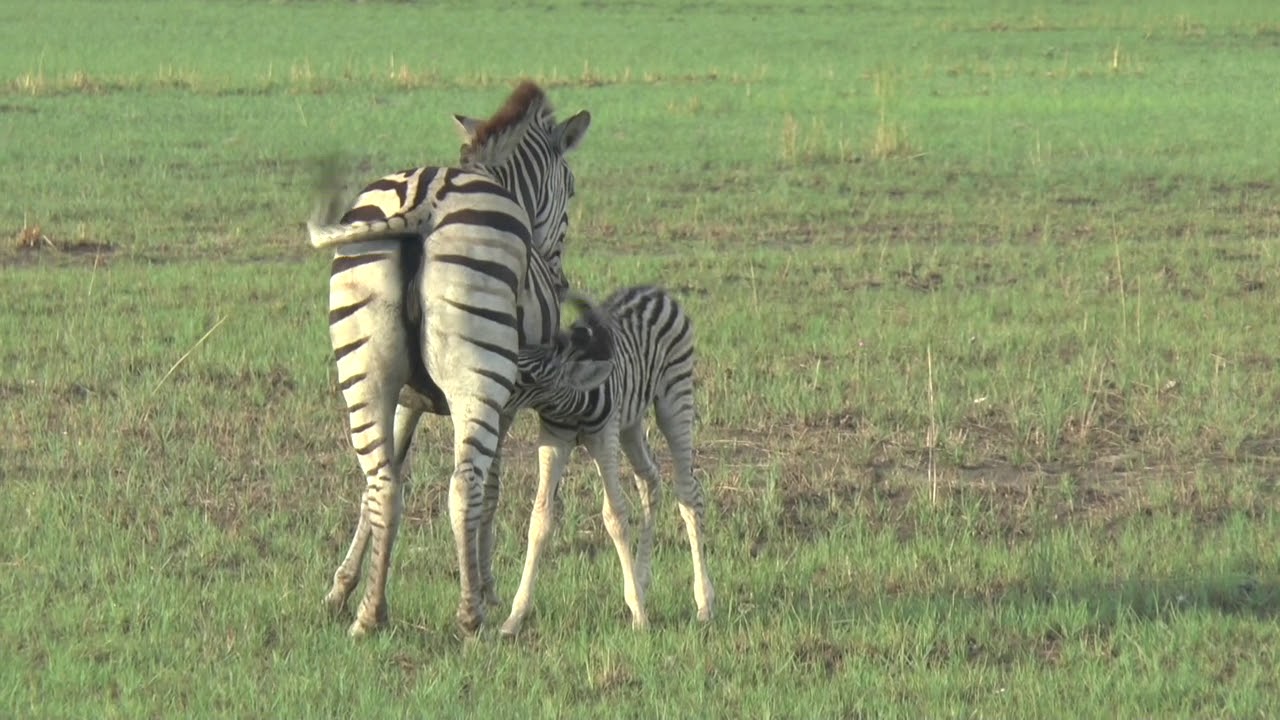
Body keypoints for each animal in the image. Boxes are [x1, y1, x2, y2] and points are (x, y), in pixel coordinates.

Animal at [307, 81, 591, 637]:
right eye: (570, 190)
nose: (561, 280)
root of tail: (424, 196)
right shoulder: (510, 400)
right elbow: (493, 489)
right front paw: (488, 586)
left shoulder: (406, 399)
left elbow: (377, 489)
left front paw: (341, 589)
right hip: (479, 378)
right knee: (463, 486)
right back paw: (470, 615)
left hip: (363, 371)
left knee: (381, 483)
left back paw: (371, 615)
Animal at [499, 285, 714, 636]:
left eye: (529, 378)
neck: (569, 406)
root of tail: (656, 290)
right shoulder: (554, 440)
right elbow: (540, 518)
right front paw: (515, 616)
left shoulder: (603, 437)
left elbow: (614, 516)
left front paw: (638, 614)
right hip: (631, 423)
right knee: (650, 479)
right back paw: (641, 580)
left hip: (674, 397)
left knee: (688, 493)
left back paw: (704, 602)